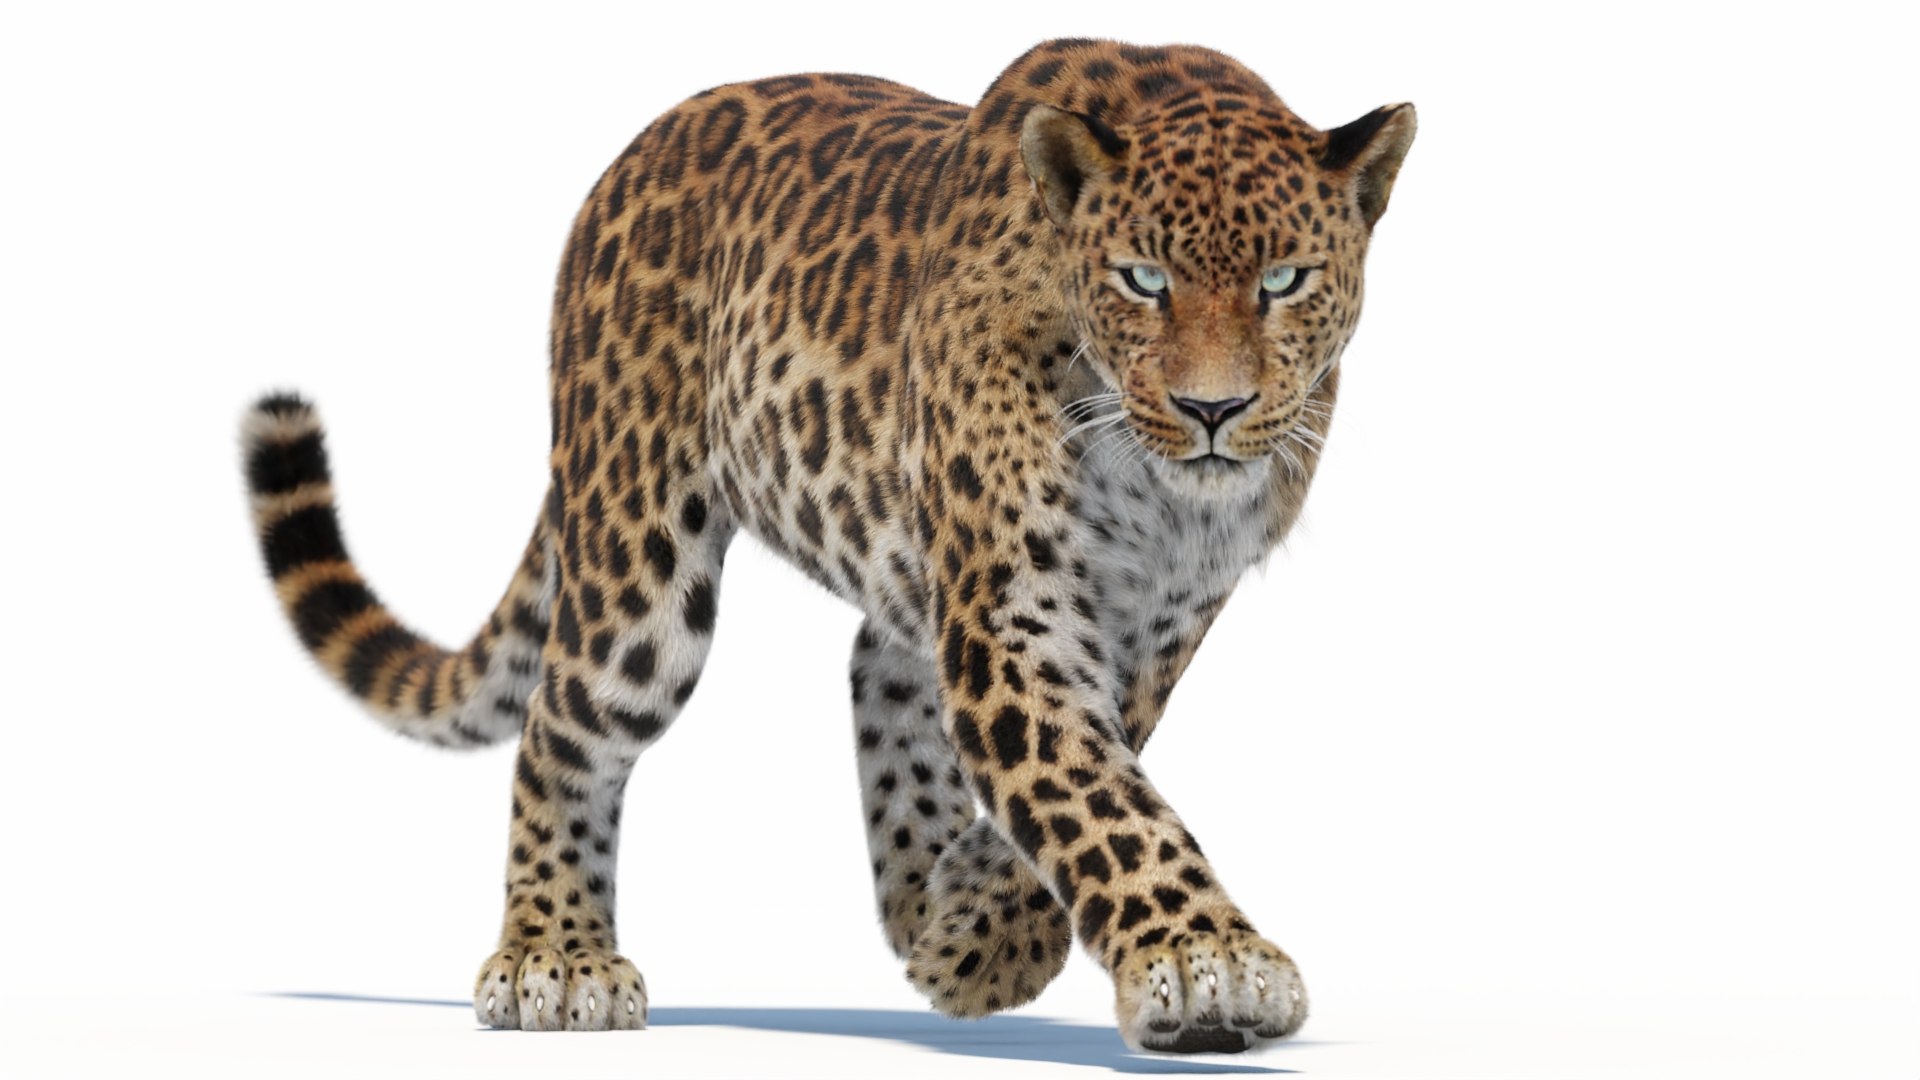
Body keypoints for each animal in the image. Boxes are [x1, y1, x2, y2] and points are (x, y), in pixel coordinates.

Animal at [240, 38, 1414, 1054]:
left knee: (876, 666)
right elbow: (1092, 790)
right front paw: (1203, 957)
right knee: (559, 727)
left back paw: (919, 902)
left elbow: (1085, 772)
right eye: (1142, 280)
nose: (1212, 410)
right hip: (637, 567)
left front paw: (977, 933)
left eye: (1283, 282)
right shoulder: (1012, 603)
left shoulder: (1153, 624)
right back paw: (556, 957)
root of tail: (626, 162)